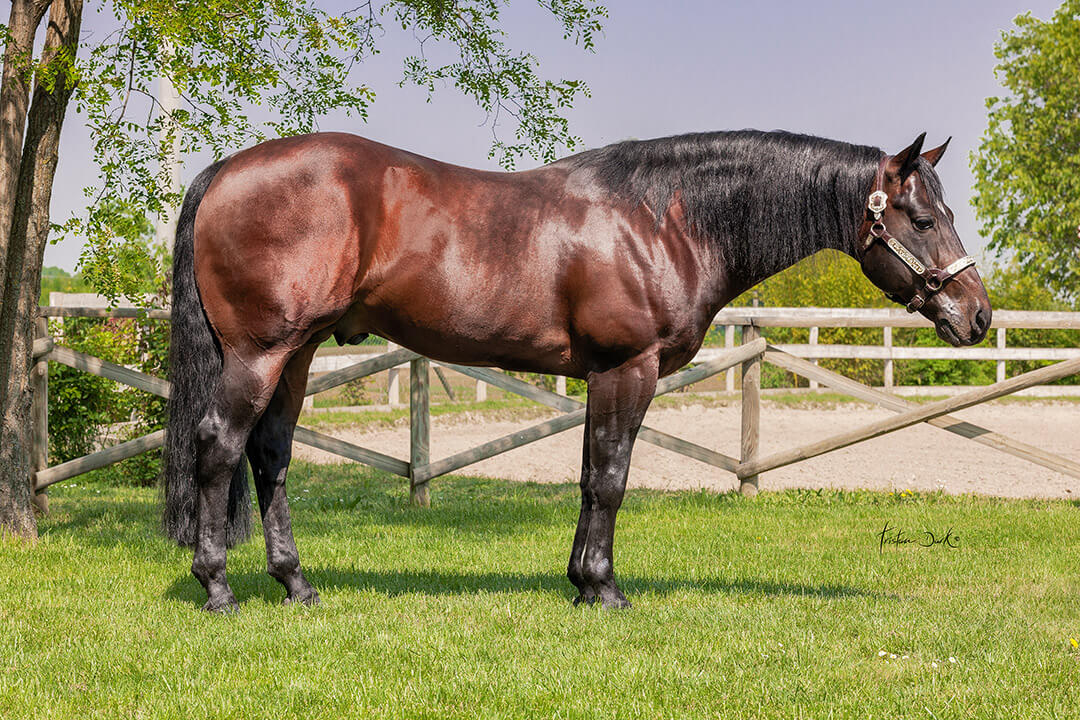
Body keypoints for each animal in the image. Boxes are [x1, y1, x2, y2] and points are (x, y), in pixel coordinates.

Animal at [161, 129, 991, 611]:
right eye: (921, 217)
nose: (978, 315)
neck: (662, 218)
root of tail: (228, 169)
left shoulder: (604, 377)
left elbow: (593, 475)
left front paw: (581, 581)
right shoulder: (630, 369)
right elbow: (612, 479)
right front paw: (604, 588)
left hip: (297, 353)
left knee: (271, 455)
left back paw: (296, 583)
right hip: (261, 353)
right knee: (219, 446)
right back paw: (218, 586)